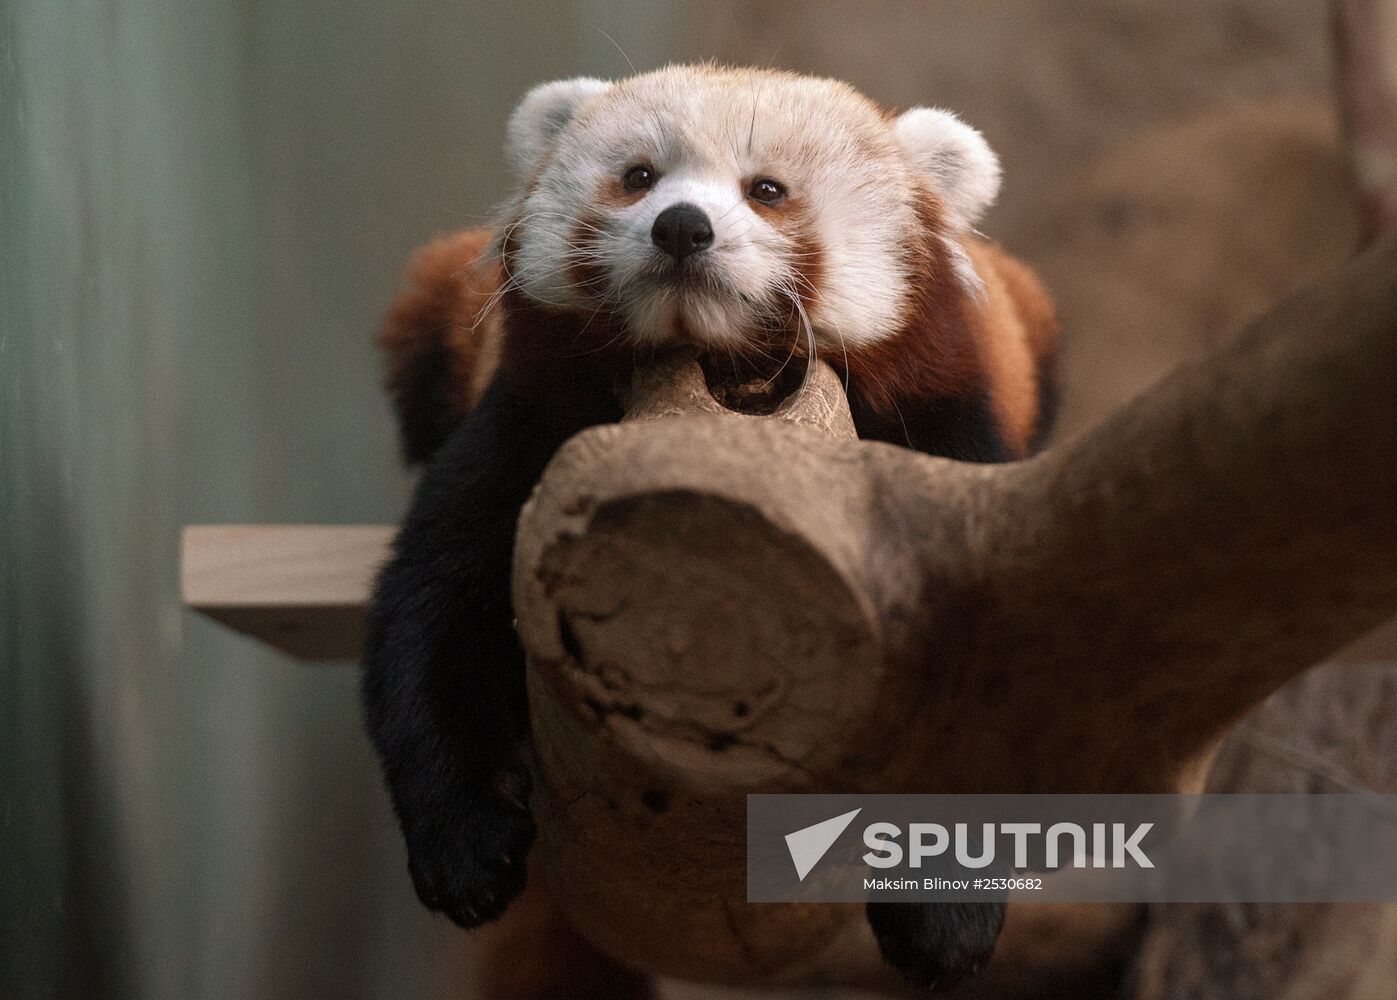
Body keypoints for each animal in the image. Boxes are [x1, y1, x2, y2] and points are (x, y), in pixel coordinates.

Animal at [363, 64, 1058, 990]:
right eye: (638, 177)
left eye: (766, 191)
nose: (682, 227)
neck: (726, 372)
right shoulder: (533, 423)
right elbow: (428, 609)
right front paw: (464, 850)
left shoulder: (942, 431)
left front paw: (947, 920)